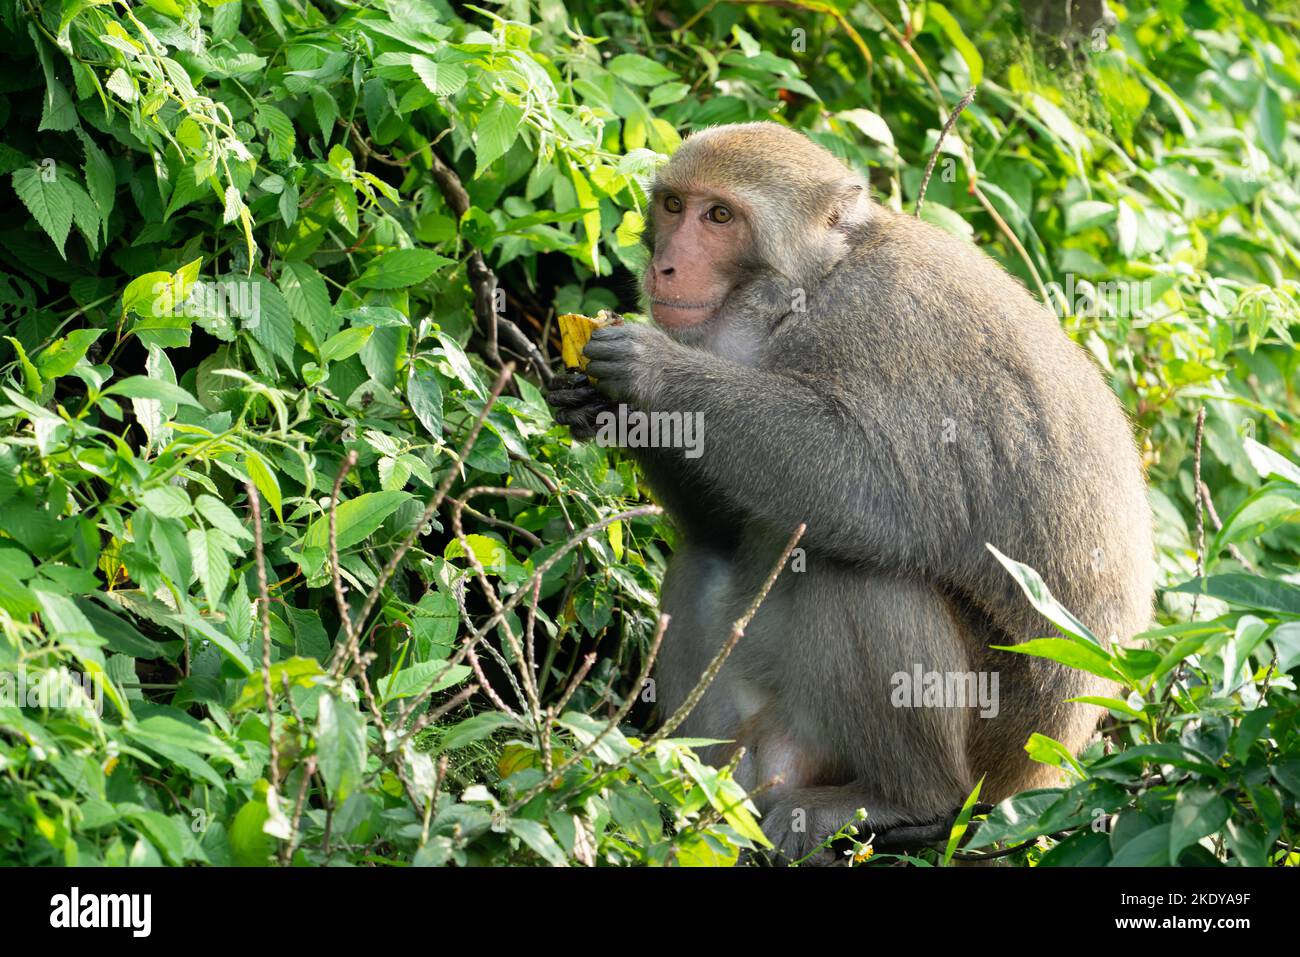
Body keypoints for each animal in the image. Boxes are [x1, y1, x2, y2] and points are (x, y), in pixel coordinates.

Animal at [547, 122, 1153, 862]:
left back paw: (908, 802)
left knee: (865, 571)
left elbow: (868, 486)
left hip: (998, 745)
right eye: (672, 205)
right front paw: (596, 405)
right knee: (702, 558)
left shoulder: (885, 324)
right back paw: (695, 790)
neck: (809, 289)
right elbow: (722, 527)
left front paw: (654, 371)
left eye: (719, 216)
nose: (663, 266)